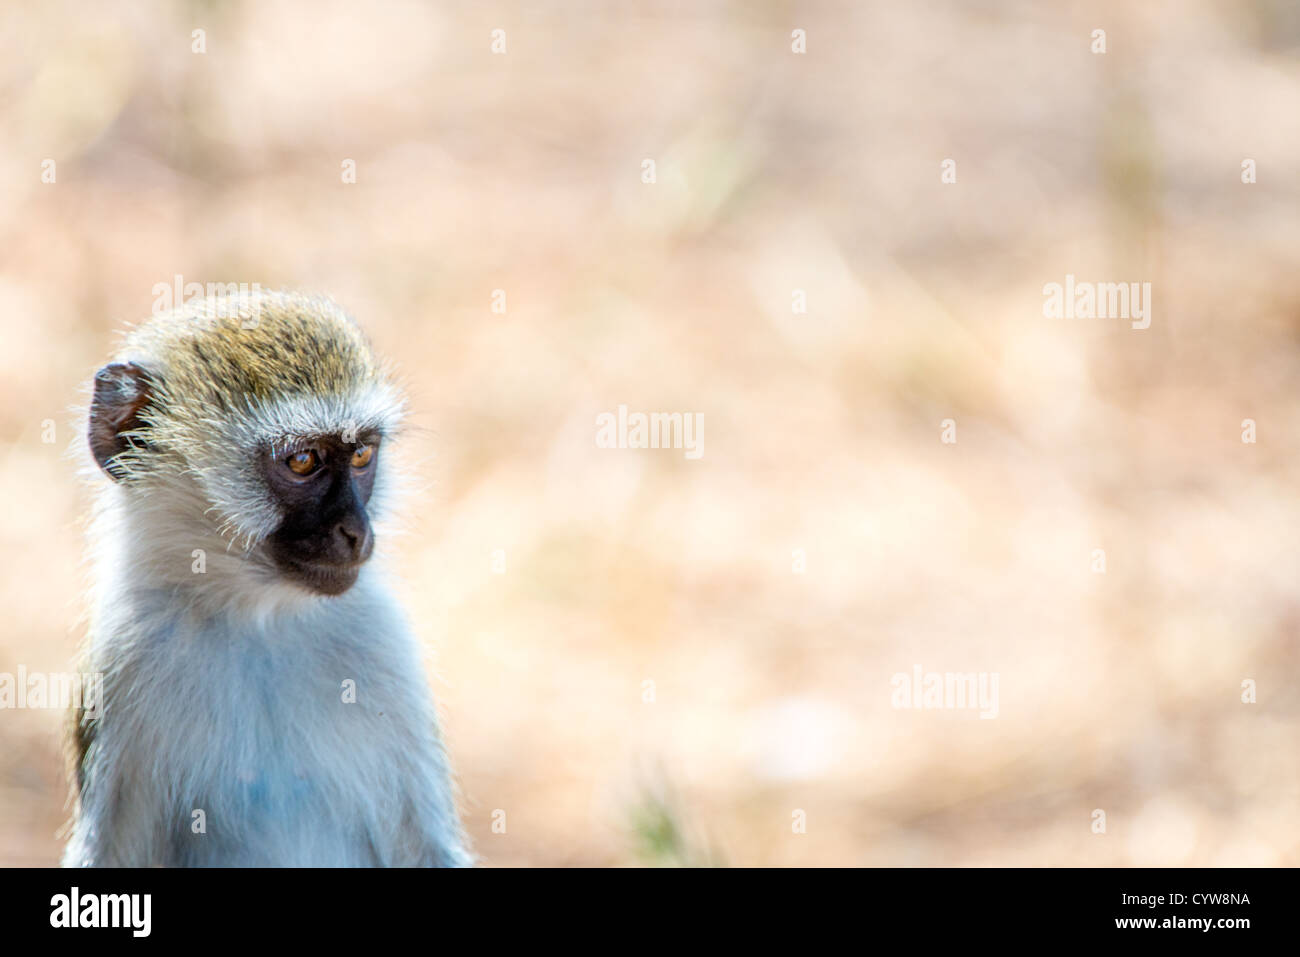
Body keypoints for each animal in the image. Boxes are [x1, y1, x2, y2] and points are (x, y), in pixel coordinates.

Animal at [63, 290, 472, 867]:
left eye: (362, 454)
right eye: (303, 461)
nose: (357, 531)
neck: (258, 617)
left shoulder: (386, 643)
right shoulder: (122, 656)